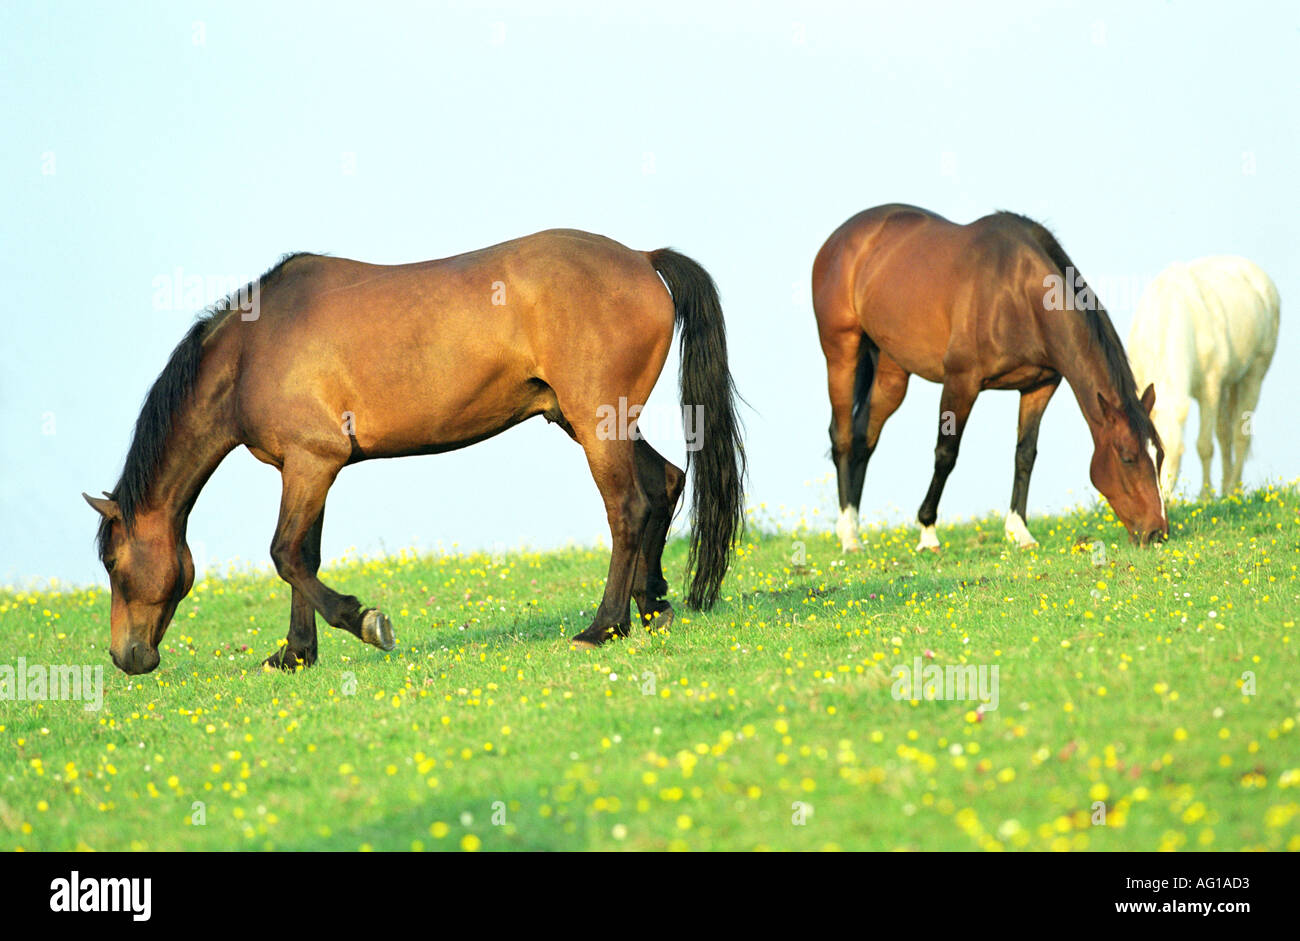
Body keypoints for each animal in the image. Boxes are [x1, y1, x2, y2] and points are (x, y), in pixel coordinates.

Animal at [84, 230, 745, 675]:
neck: (253, 348)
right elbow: (304, 556)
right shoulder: (309, 468)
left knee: (628, 508)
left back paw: (603, 626)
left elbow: (286, 554)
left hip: (596, 423)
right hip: (590, 421)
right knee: (665, 482)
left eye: (112, 562)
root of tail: (641, 259)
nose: (126, 657)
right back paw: (652, 604)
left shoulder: (311, 462)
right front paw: (295, 654)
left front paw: (365, 623)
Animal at [812, 204, 1167, 553]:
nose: (1157, 533)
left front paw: (1019, 531)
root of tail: (839, 238)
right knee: (843, 436)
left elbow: (1025, 454)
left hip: (892, 372)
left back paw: (855, 527)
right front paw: (928, 532)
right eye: (1128, 458)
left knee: (864, 438)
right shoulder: (961, 381)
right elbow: (946, 454)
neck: (1019, 293)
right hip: (841, 352)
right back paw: (849, 537)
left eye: (1160, 456)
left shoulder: (1039, 386)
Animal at [1127, 256, 1279, 501]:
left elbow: (1204, 446)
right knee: (1225, 434)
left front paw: (1205, 496)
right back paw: (1226, 489)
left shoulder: (1210, 389)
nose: (1162, 500)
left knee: (1240, 436)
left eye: (1177, 453)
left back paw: (1234, 489)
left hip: (1254, 374)